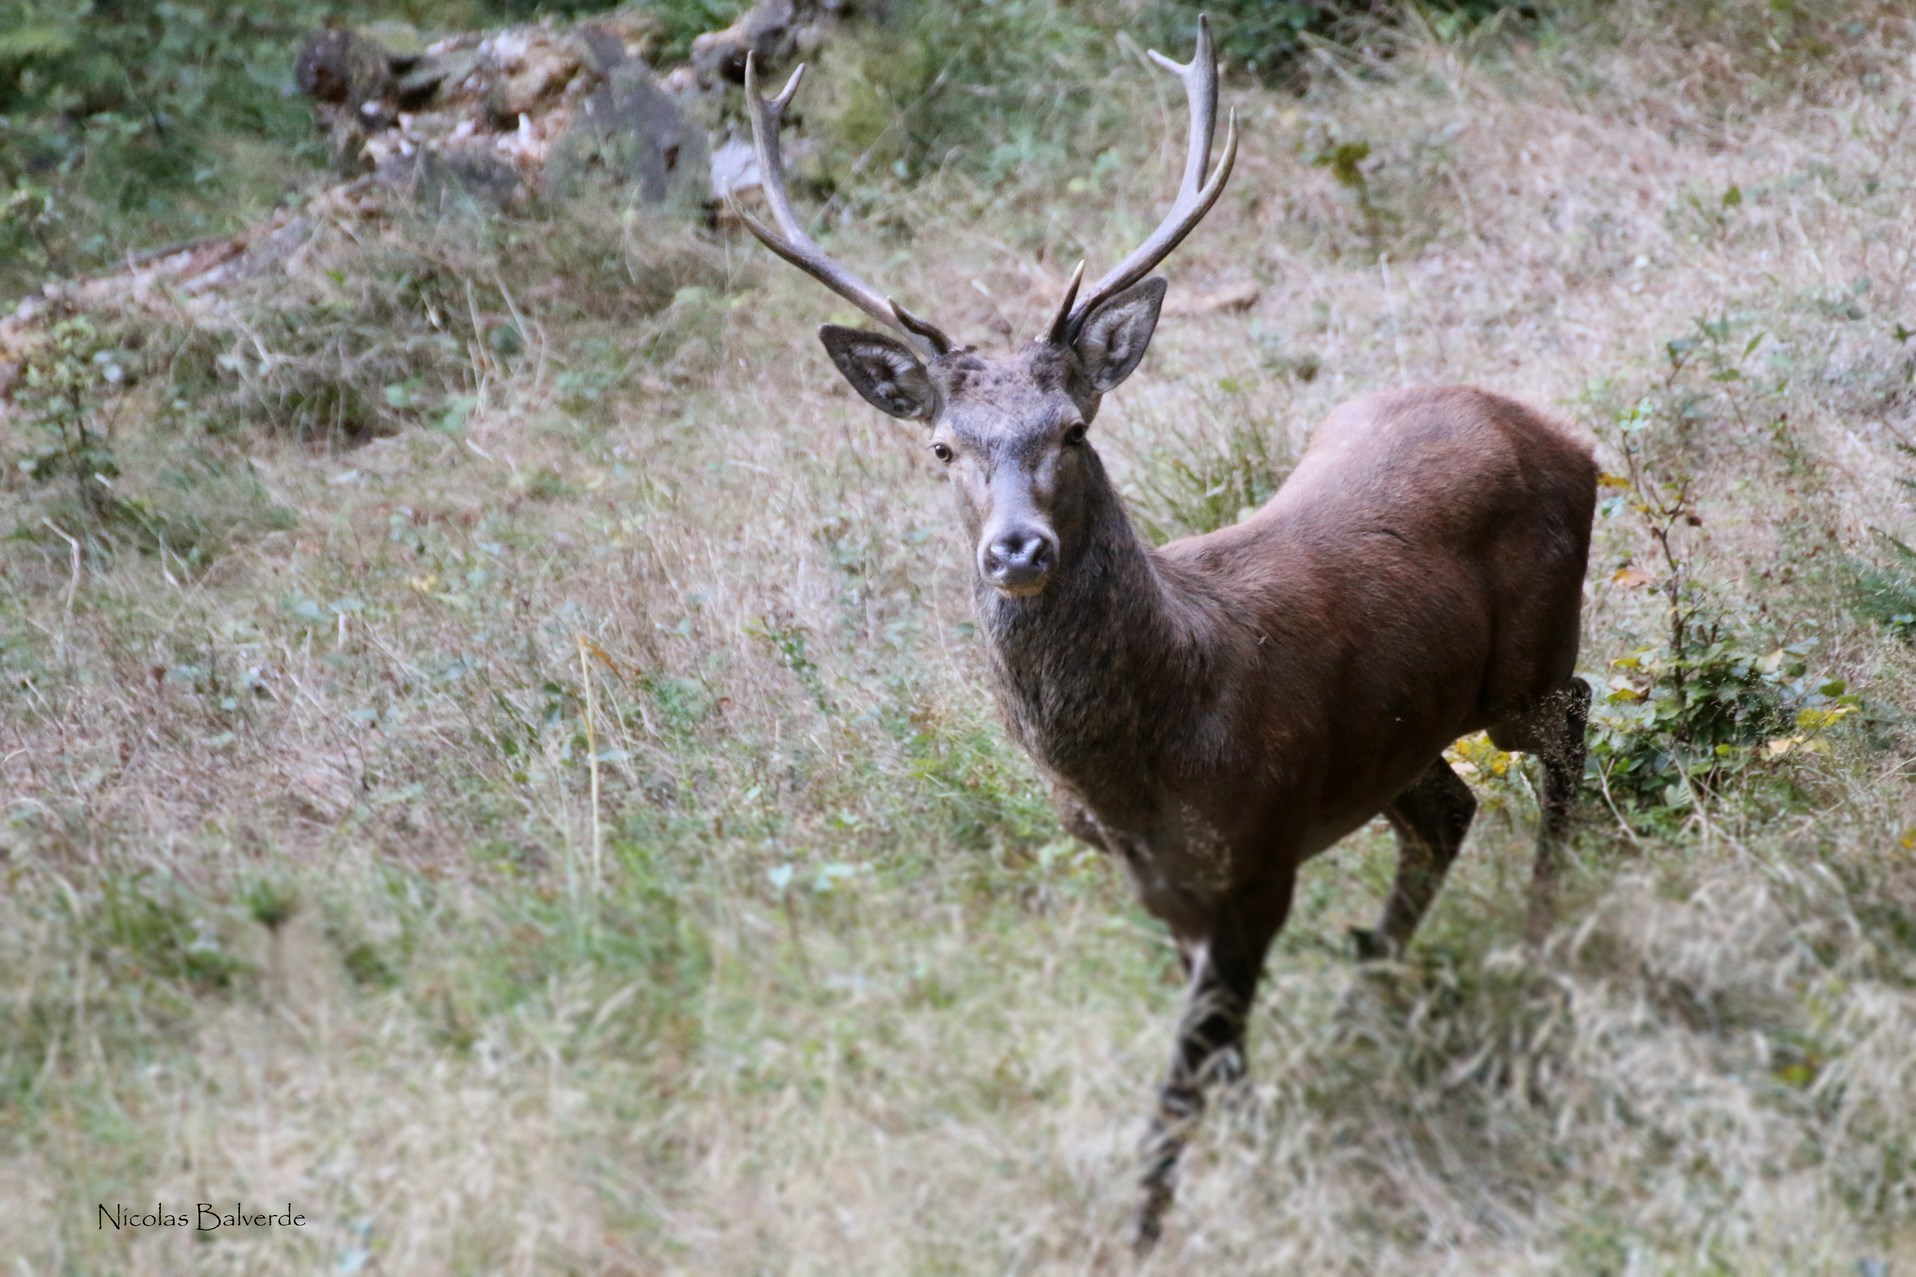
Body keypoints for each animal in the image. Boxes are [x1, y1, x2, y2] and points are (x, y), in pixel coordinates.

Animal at [729, 16, 1596, 1252]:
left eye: (1074, 428)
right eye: (943, 446)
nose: (1016, 550)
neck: (1150, 752)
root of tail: (1558, 433)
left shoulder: (1260, 852)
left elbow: (1183, 1076)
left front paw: (1142, 1231)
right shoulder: (1159, 883)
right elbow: (1218, 1058)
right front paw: (1263, 1147)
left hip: (1526, 655)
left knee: (1570, 721)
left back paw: (1540, 917)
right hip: (1391, 736)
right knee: (1445, 805)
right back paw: (1371, 989)